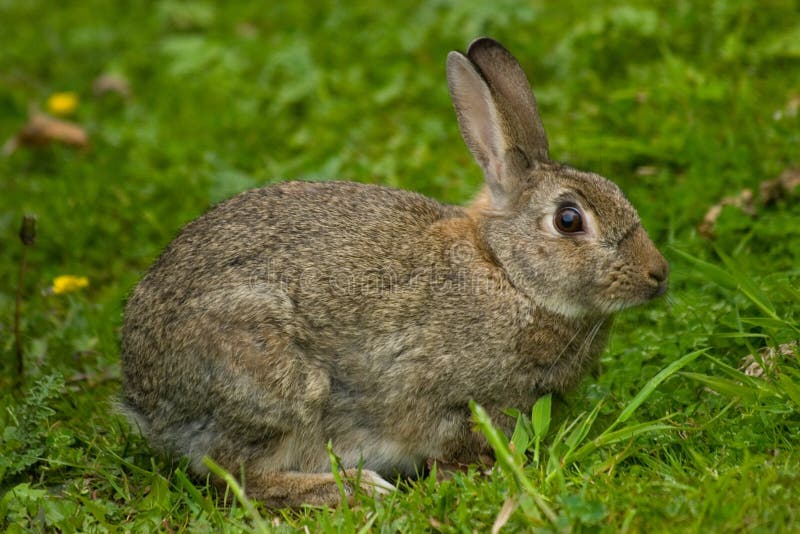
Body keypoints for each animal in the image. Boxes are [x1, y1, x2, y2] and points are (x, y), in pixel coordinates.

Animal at [121, 37, 668, 508]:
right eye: (569, 220)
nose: (658, 274)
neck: (507, 273)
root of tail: (143, 398)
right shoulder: (448, 397)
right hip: (275, 384)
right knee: (238, 475)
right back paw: (354, 488)